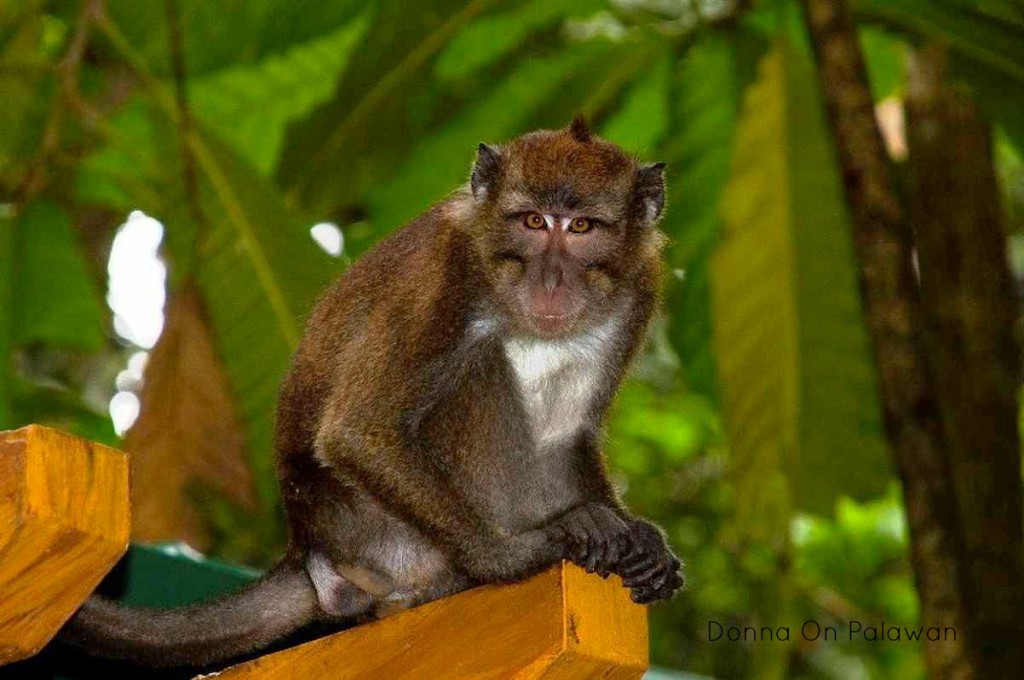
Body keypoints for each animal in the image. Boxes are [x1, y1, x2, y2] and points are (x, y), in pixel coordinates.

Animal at [59, 116, 684, 669]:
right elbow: (358, 432)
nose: (550, 279)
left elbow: (573, 436)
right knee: (481, 364)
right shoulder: (444, 278)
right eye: (532, 221)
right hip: (386, 540)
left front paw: (637, 537)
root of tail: (310, 549)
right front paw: (516, 556)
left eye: (580, 228)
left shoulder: (640, 290)